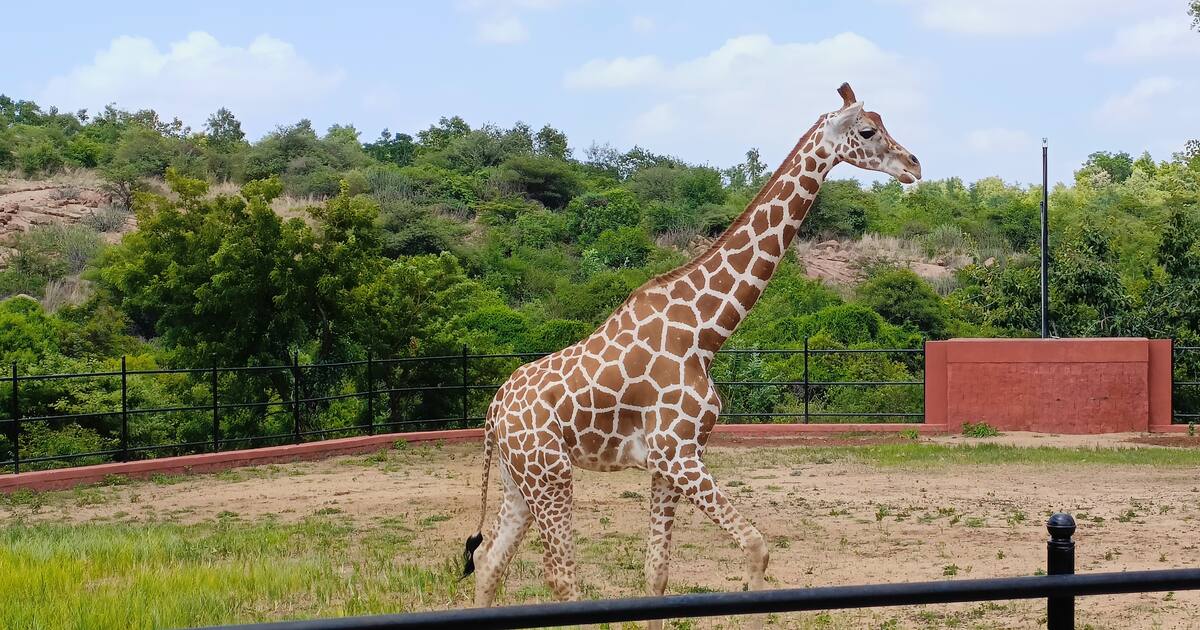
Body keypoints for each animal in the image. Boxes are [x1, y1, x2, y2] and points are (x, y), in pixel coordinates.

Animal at [461, 82, 921, 626]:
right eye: (868, 131)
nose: (914, 165)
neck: (704, 332)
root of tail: (493, 411)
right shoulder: (677, 452)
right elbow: (756, 547)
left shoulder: (672, 459)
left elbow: (657, 571)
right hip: (550, 474)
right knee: (560, 577)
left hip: (520, 479)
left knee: (490, 562)